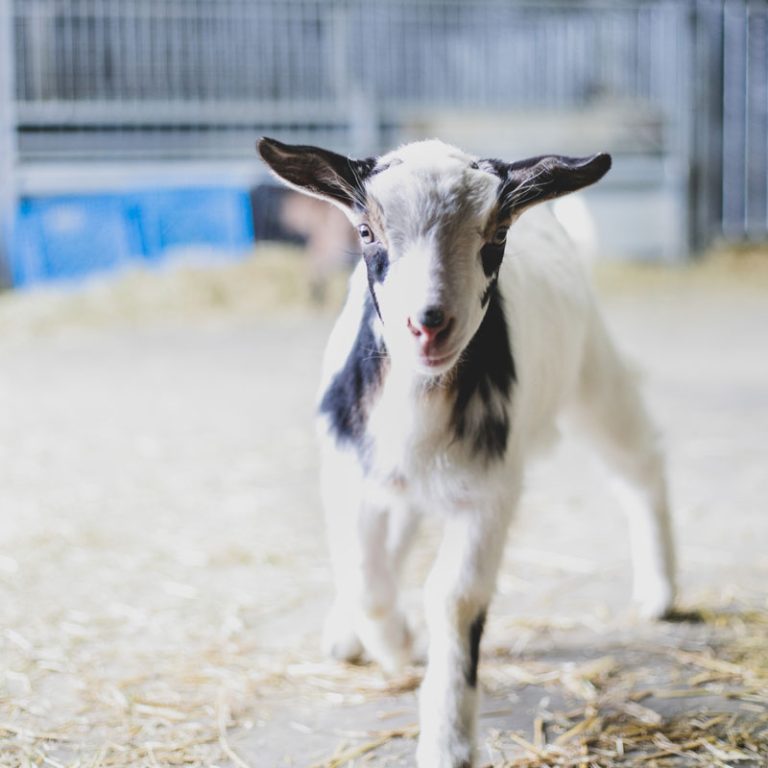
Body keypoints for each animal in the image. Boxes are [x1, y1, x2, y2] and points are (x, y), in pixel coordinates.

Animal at [258, 137, 676, 768]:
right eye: (366, 231)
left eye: (496, 235)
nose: (429, 324)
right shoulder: (350, 474)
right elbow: (363, 575)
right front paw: (393, 643)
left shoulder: (488, 491)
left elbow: (455, 598)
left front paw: (448, 739)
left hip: (593, 371)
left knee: (638, 461)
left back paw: (660, 593)